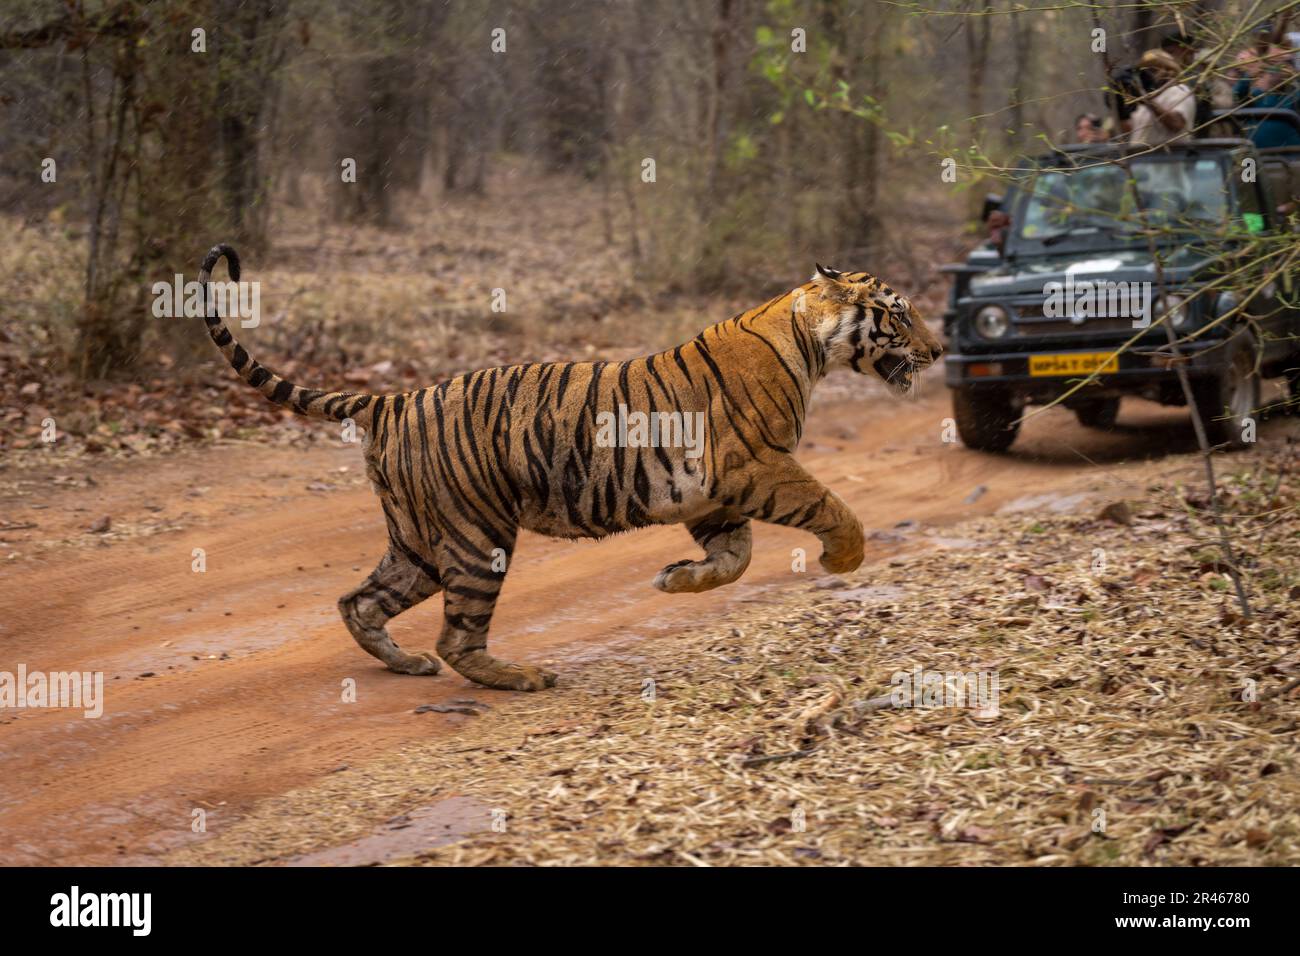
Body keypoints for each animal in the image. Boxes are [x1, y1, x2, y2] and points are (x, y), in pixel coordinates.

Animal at [196, 244, 942, 691]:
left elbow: (734, 559)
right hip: (476, 535)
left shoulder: (713, 496)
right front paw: (843, 559)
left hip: (417, 538)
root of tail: (393, 396)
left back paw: (406, 663)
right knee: (456, 634)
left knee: (361, 601)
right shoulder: (754, 467)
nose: (938, 351)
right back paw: (519, 676)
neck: (810, 343)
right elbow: (827, 505)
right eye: (901, 315)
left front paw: (676, 579)